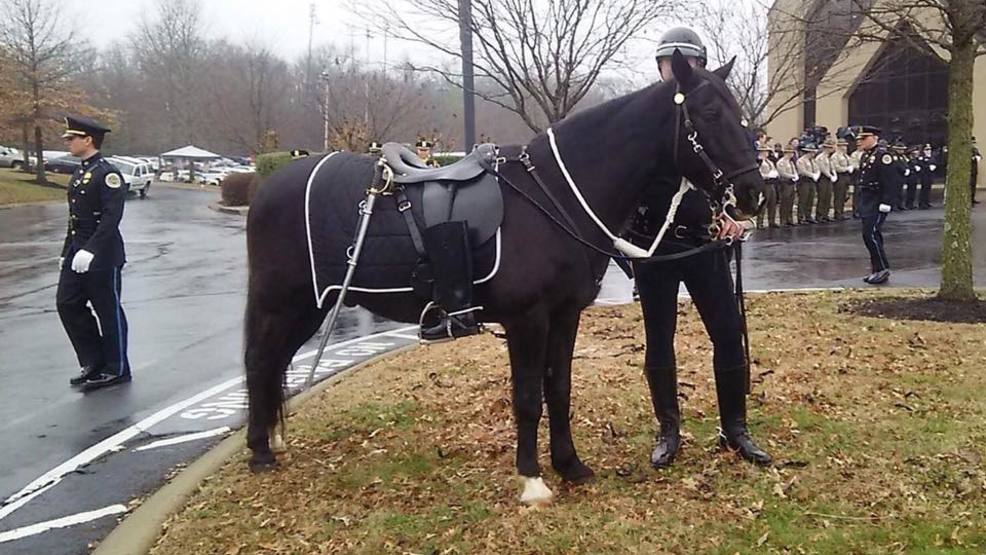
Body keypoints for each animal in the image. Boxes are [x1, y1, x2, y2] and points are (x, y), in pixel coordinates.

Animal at [243, 51, 763, 504]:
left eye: (739, 112)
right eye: (710, 112)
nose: (753, 191)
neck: (557, 194)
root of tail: (268, 185)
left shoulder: (565, 315)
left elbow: (559, 388)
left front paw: (569, 465)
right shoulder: (526, 320)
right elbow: (529, 396)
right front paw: (532, 480)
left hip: (311, 306)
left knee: (274, 363)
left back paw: (272, 439)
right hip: (283, 303)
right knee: (259, 362)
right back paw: (260, 452)